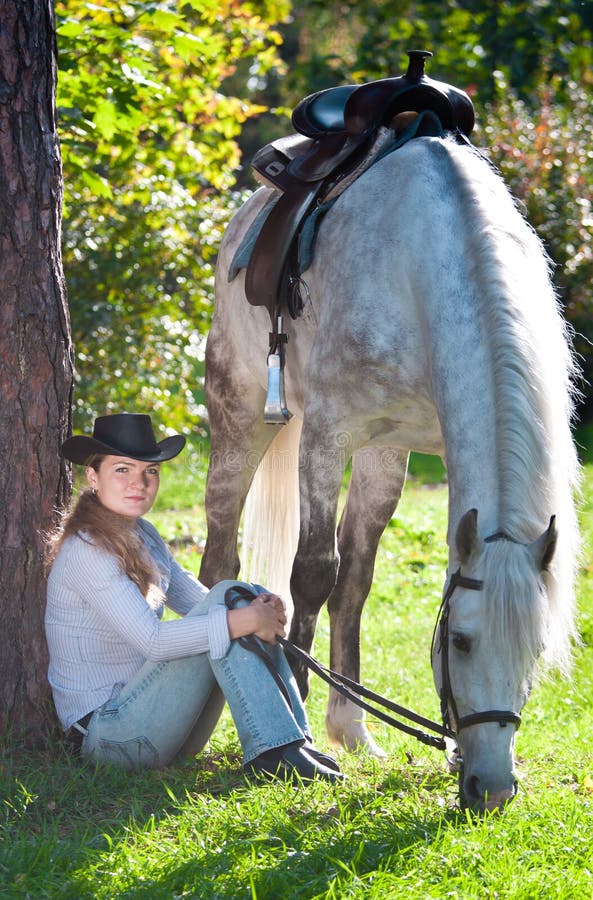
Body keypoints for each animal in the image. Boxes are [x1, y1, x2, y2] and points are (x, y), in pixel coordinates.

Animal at [198, 133, 581, 812]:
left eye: (535, 649)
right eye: (460, 641)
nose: (491, 789)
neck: (424, 266)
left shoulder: (415, 446)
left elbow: (351, 581)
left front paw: (347, 731)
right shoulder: (327, 436)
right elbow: (311, 575)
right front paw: (301, 731)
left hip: (384, 460)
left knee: (355, 579)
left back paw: (354, 728)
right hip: (240, 416)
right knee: (221, 558)